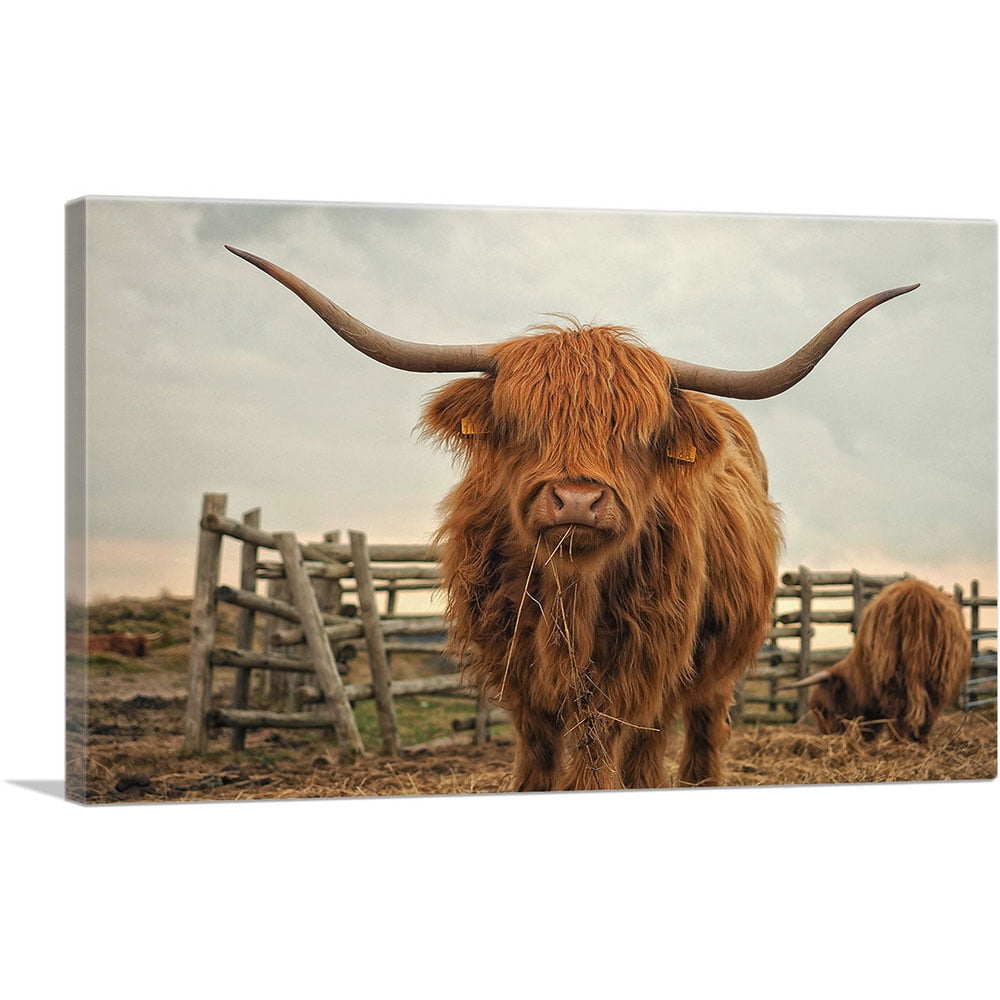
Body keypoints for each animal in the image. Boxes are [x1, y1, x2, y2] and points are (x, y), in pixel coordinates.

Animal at [227, 244, 917, 790]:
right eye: (522, 424)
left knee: (687, 735)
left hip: (709, 665)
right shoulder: (519, 673)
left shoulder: (635, 670)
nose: (578, 501)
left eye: (639, 434)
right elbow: (538, 755)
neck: (570, 592)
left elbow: (600, 755)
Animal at [780, 577, 970, 742]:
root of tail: (916, 594)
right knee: (930, 708)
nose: (827, 735)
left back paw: (899, 740)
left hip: (892, 672)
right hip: (939, 673)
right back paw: (918, 740)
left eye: (823, 709)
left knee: (899, 708)